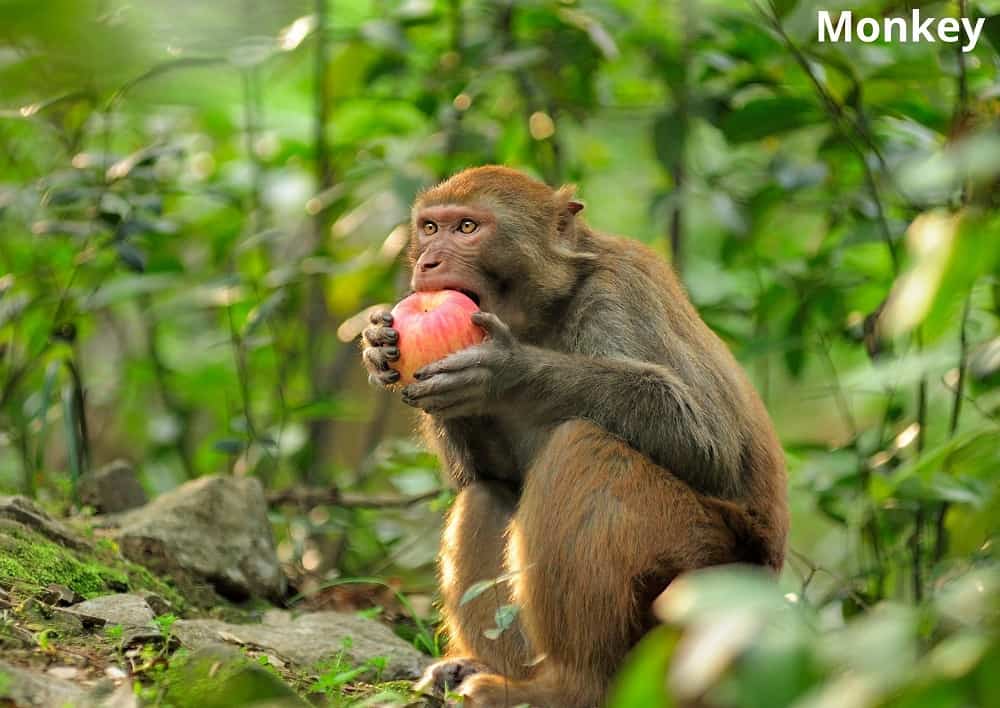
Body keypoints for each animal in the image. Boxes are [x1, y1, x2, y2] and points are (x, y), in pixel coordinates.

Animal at [361, 166, 789, 707]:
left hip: (700, 586)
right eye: (430, 227)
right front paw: (376, 345)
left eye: (467, 228)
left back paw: (564, 687)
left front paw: (507, 371)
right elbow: (491, 474)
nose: (428, 261)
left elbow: (709, 445)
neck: (545, 309)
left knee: (584, 451)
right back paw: (484, 673)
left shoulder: (621, 294)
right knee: (486, 495)